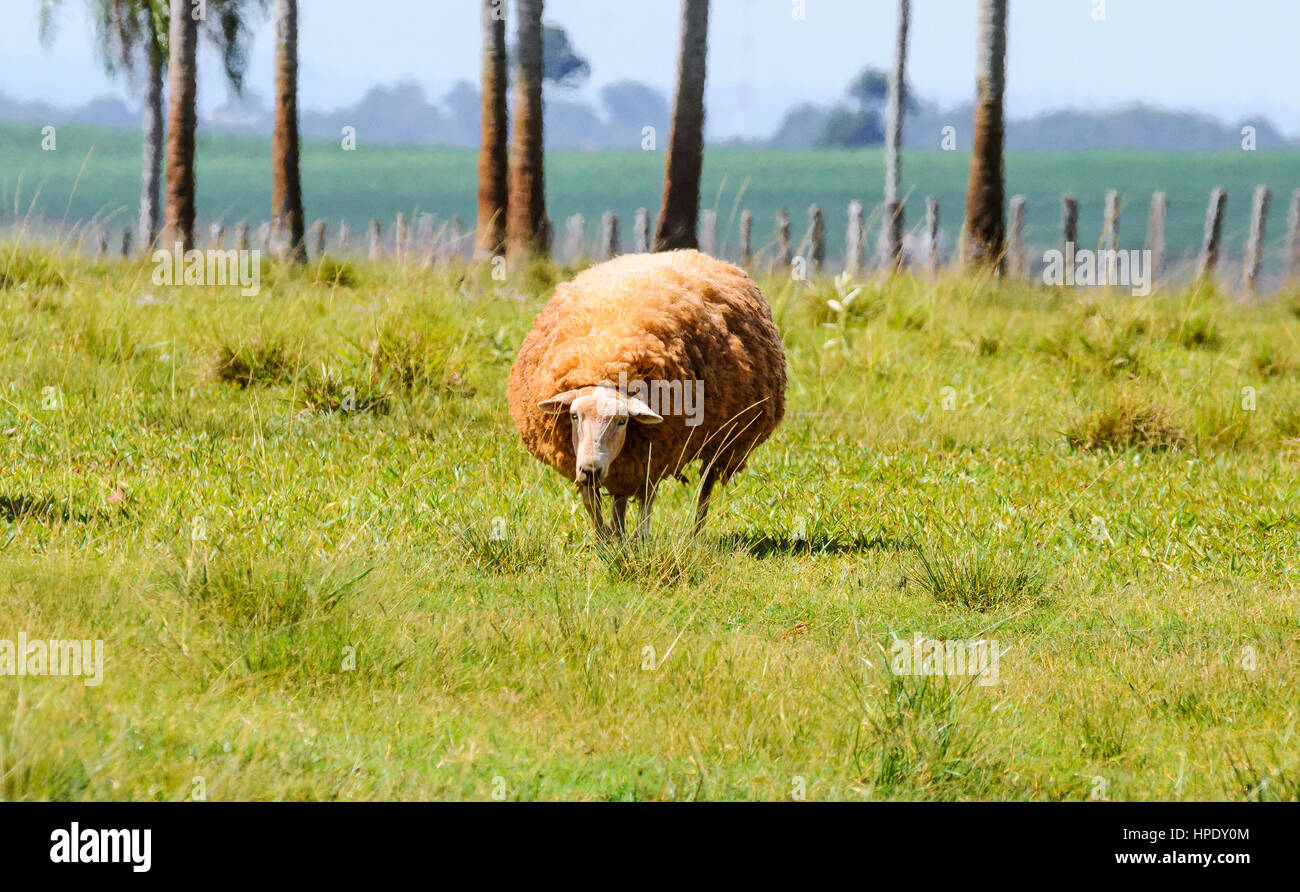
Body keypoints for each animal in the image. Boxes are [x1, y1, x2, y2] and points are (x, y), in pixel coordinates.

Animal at [507, 249, 786, 539]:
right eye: (573, 416)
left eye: (622, 421)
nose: (591, 469)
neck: (604, 360)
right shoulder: (588, 460)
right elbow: (592, 504)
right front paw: (607, 540)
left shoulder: (653, 455)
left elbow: (645, 504)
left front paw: (638, 540)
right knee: (620, 499)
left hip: (722, 442)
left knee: (705, 488)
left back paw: (694, 533)